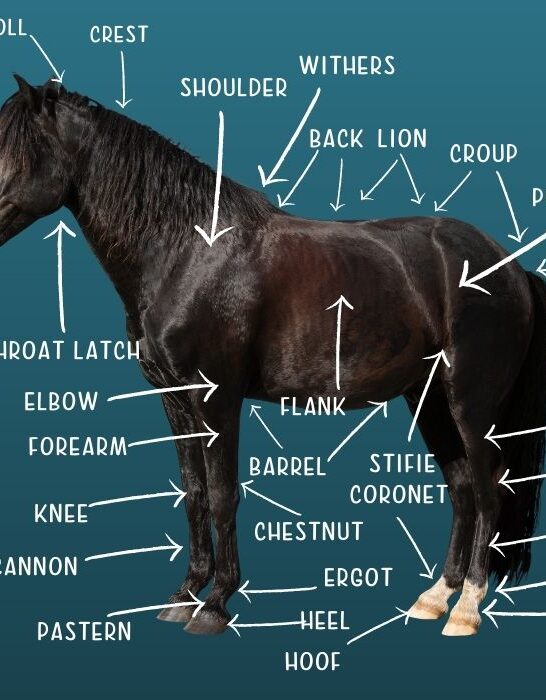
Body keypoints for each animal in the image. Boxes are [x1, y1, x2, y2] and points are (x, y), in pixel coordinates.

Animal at [1, 76, 545, 637]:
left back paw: (466, 607)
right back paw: (435, 597)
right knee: (462, 489)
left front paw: (216, 603)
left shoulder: (218, 398)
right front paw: (184, 595)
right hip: (428, 399)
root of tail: (510, 266)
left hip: (470, 404)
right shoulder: (175, 399)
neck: (188, 252)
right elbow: (194, 493)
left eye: (17, 145)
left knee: (488, 490)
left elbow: (223, 495)